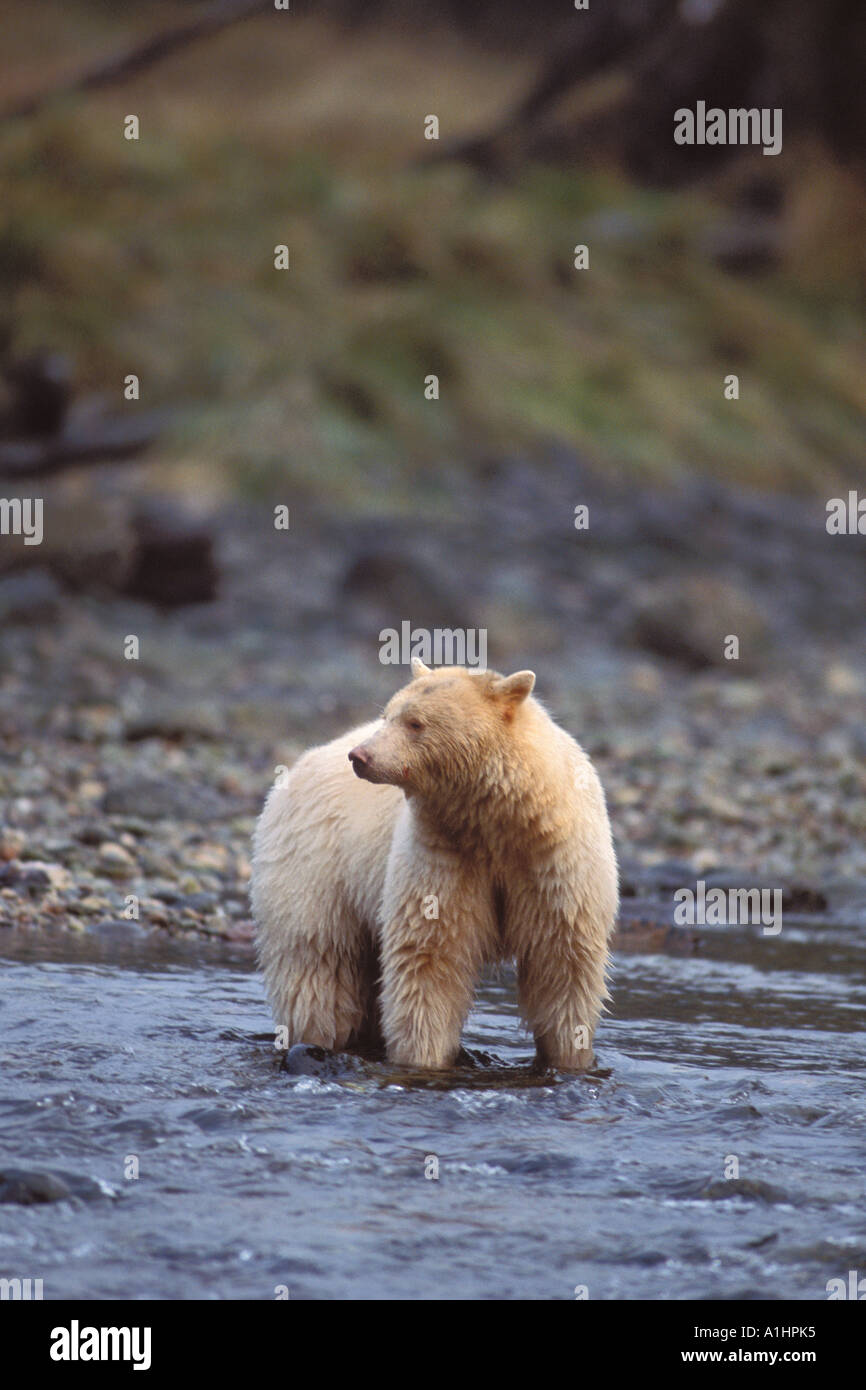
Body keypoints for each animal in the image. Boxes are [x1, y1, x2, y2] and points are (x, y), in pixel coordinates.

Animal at [251, 660, 619, 1071]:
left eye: (415, 722)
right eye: (387, 714)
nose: (360, 756)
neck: (499, 818)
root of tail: (298, 766)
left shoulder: (553, 861)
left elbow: (562, 962)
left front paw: (570, 1059)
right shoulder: (442, 853)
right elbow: (431, 959)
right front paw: (422, 1060)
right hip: (315, 867)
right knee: (318, 967)